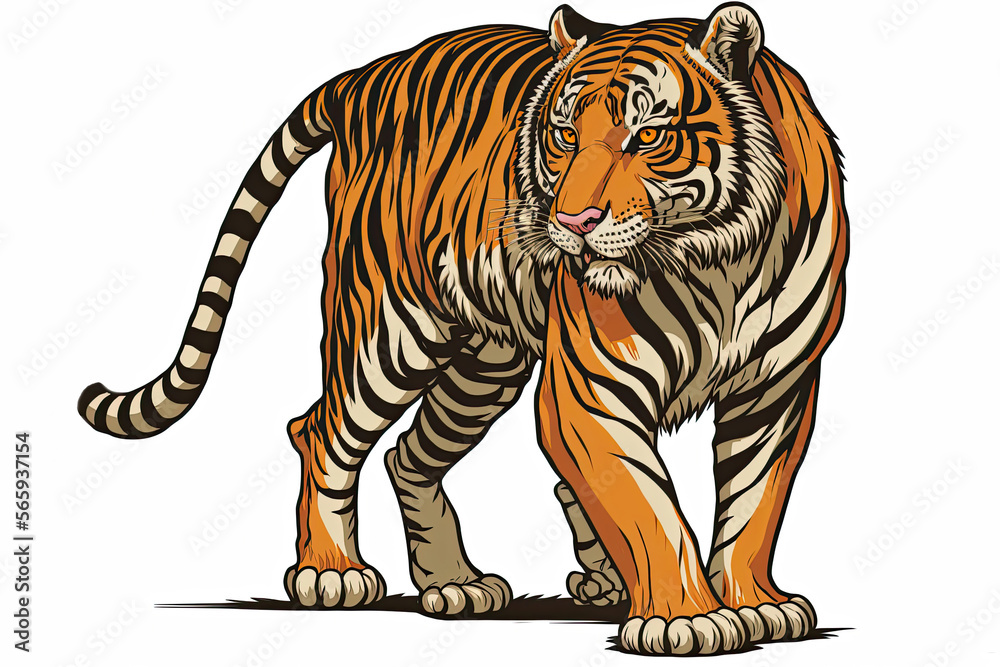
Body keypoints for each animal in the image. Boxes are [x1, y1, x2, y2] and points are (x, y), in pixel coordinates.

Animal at [77, 2, 847, 656]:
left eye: (648, 136)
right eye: (565, 136)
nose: (570, 223)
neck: (714, 260)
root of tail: (363, 77)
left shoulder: (776, 389)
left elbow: (753, 504)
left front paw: (755, 604)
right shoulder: (592, 389)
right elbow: (651, 506)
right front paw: (684, 619)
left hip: (486, 362)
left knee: (409, 455)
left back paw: (458, 582)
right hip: (387, 331)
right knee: (321, 430)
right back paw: (333, 571)